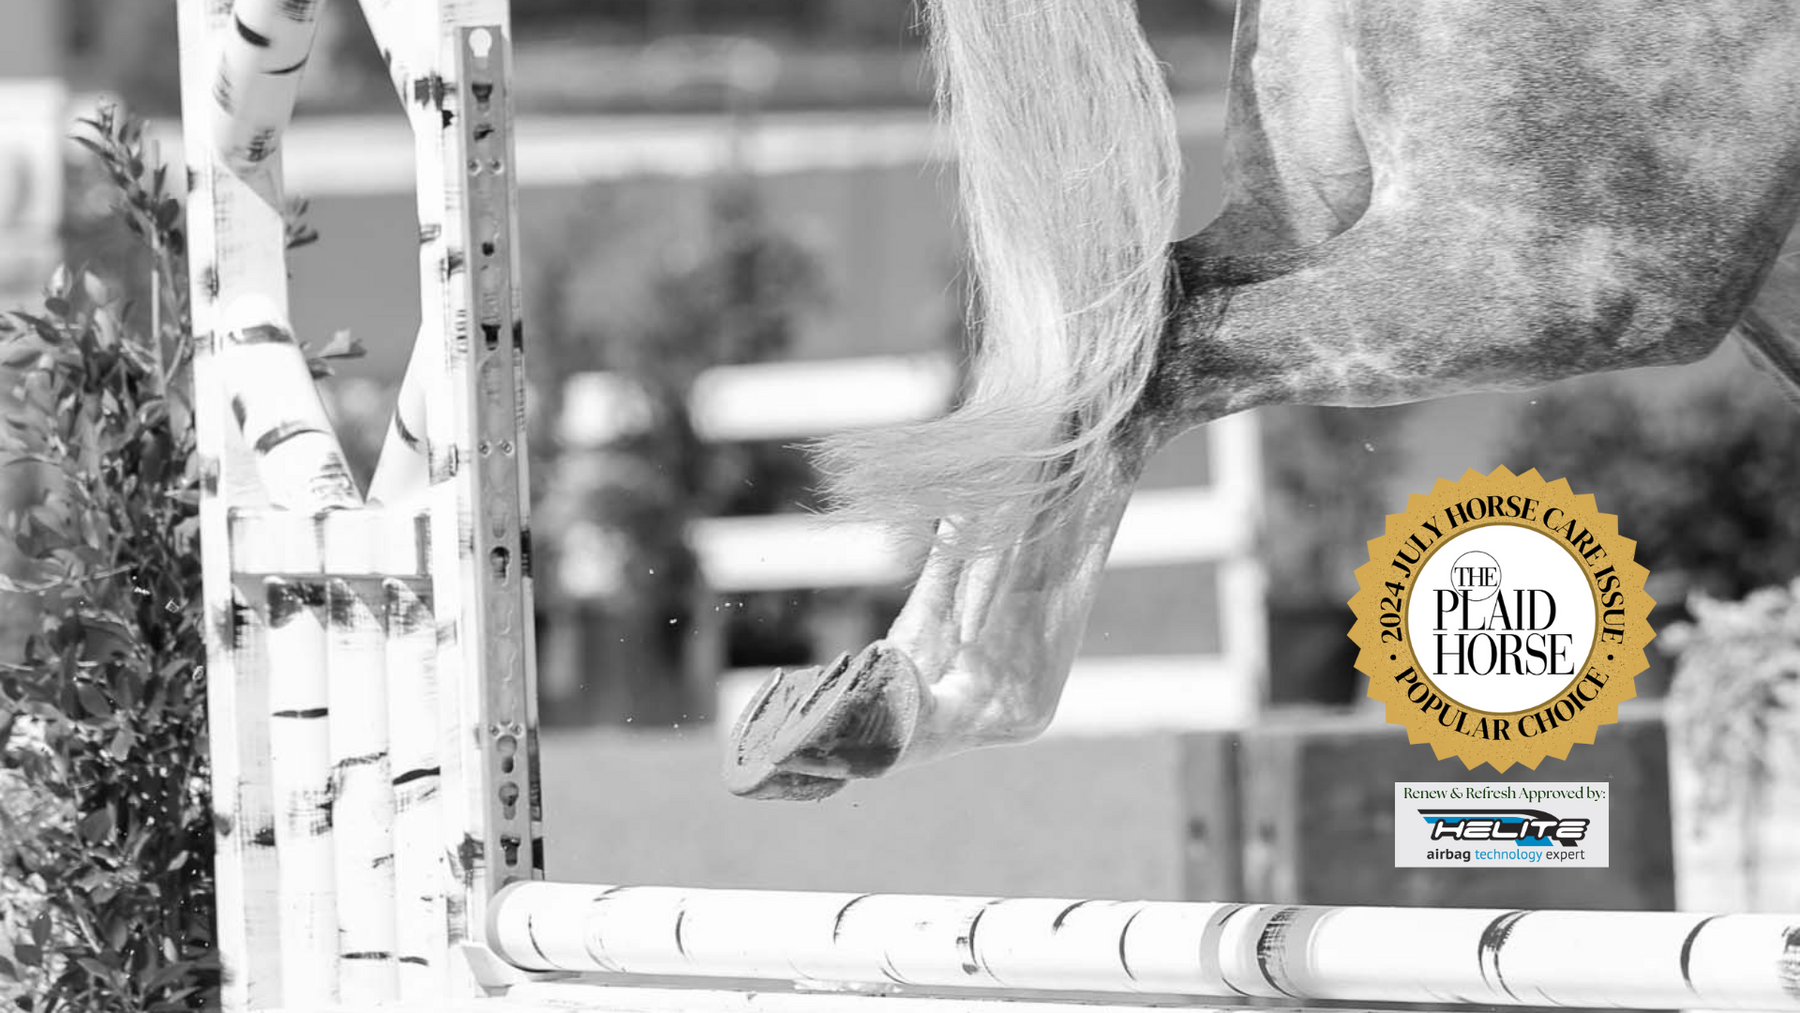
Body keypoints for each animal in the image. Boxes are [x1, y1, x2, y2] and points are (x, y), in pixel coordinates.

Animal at [723, 0, 1800, 800]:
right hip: (1570, 275)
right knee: (1151, 348)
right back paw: (910, 703)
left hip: (1326, 214)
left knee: (1108, 333)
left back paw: (879, 702)